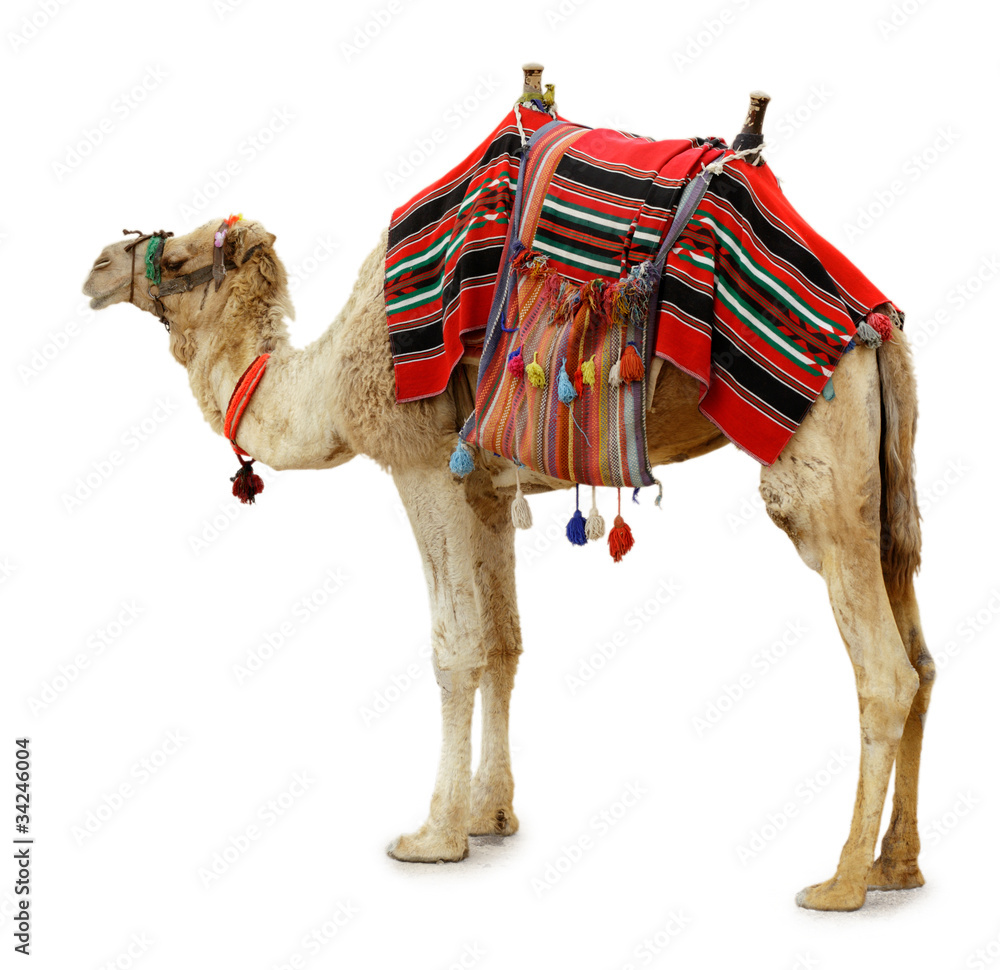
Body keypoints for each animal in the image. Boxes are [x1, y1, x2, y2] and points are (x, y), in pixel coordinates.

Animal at [81, 95, 932, 914]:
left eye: (179, 256)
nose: (95, 266)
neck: (331, 382)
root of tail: (876, 328)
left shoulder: (423, 464)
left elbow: (454, 647)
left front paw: (433, 835)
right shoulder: (487, 489)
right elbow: (504, 643)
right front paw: (491, 814)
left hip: (818, 465)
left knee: (884, 670)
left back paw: (840, 883)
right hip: (885, 484)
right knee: (920, 658)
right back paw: (898, 866)